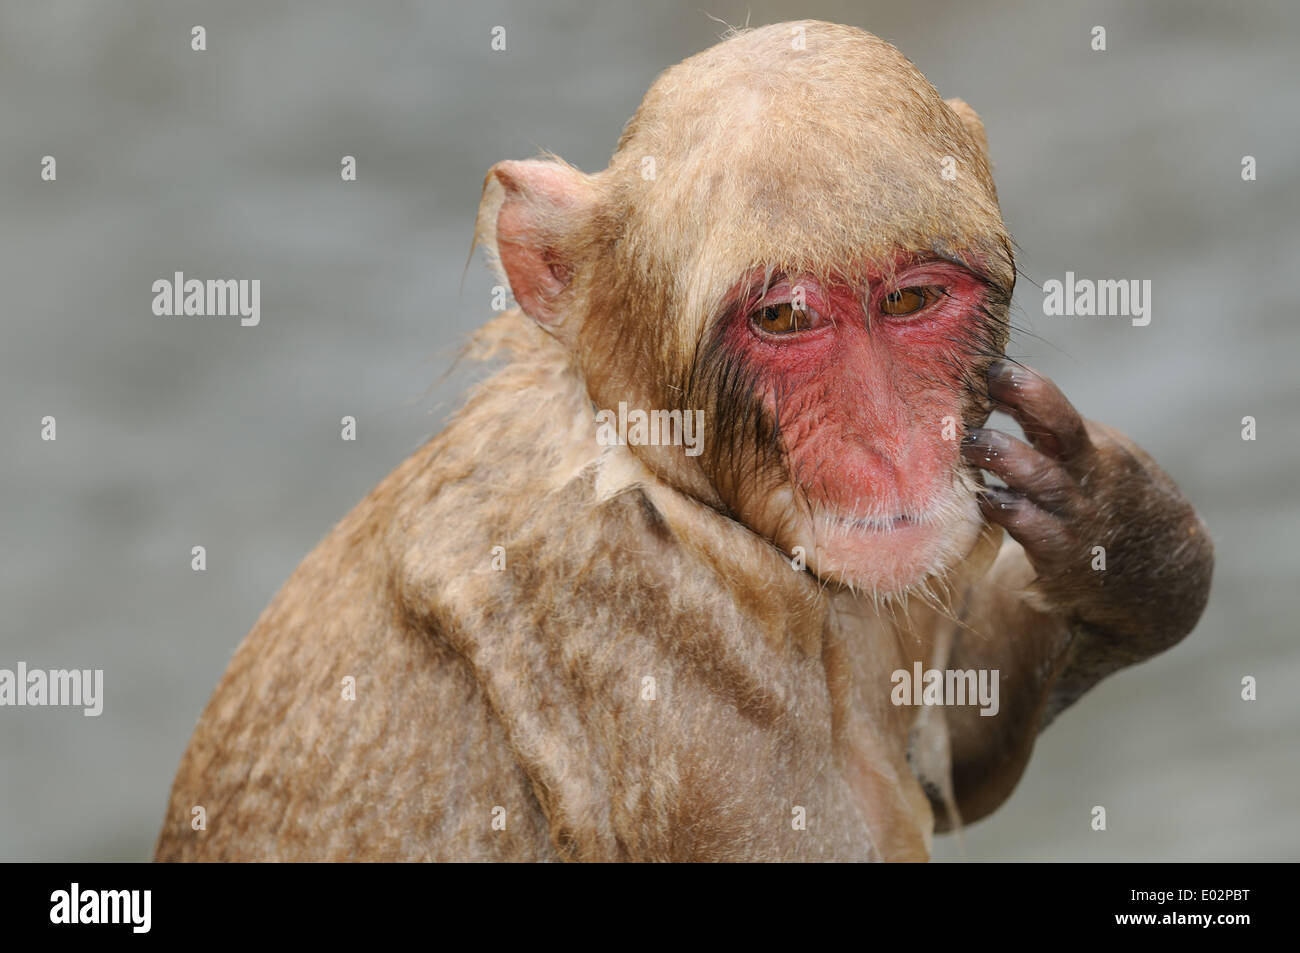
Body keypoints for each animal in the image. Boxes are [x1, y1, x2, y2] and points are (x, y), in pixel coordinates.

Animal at [155, 20, 1213, 862]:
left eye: (911, 299)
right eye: (784, 318)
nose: (890, 445)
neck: (653, 483)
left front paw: (1120, 536)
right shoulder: (687, 726)